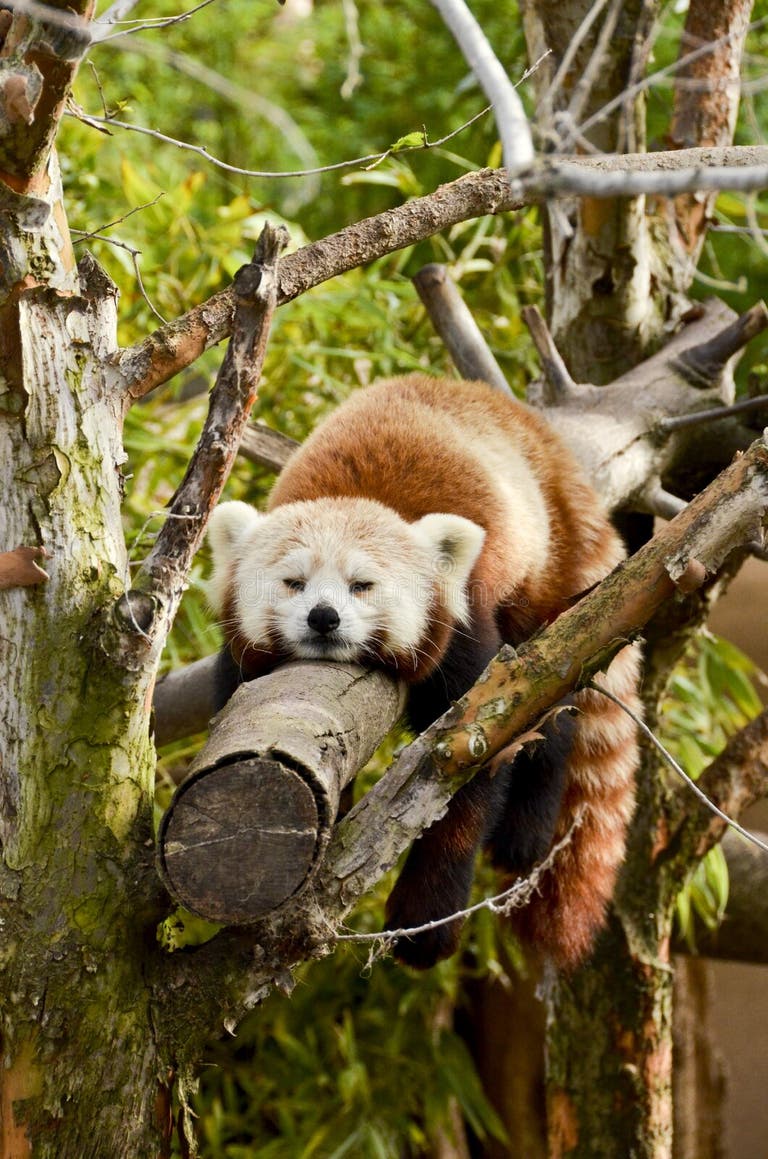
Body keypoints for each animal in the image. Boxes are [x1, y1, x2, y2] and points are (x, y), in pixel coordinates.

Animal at [206, 374, 640, 969]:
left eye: (361, 585)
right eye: (294, 583)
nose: (323, 618)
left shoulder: (465, 631)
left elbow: (469, 776)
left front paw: (424, 924)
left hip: (544, 572)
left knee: (554, 704)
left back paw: (525, 833)